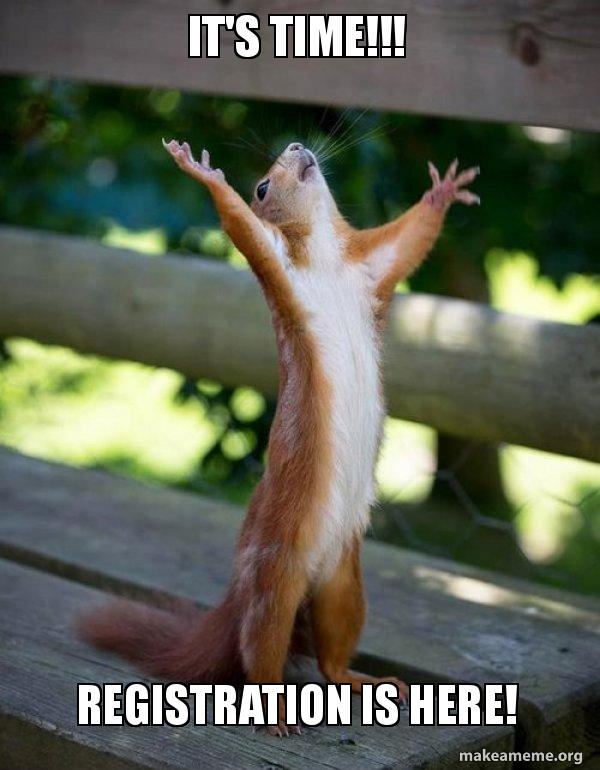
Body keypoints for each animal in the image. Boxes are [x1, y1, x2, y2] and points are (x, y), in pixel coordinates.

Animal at [79, 138, 479, 736]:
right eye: (262, 186)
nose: (296, 146)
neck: (327, 259)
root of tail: (241, 591)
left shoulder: (371, 267)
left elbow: (408, 241)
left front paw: (443, 191)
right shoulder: (278, 266)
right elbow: (242, 227)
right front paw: (204, 173)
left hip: (344, 584)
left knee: (332, 654)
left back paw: (360, 679)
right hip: (275, 578)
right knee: (260, 651)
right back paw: (275, 712)